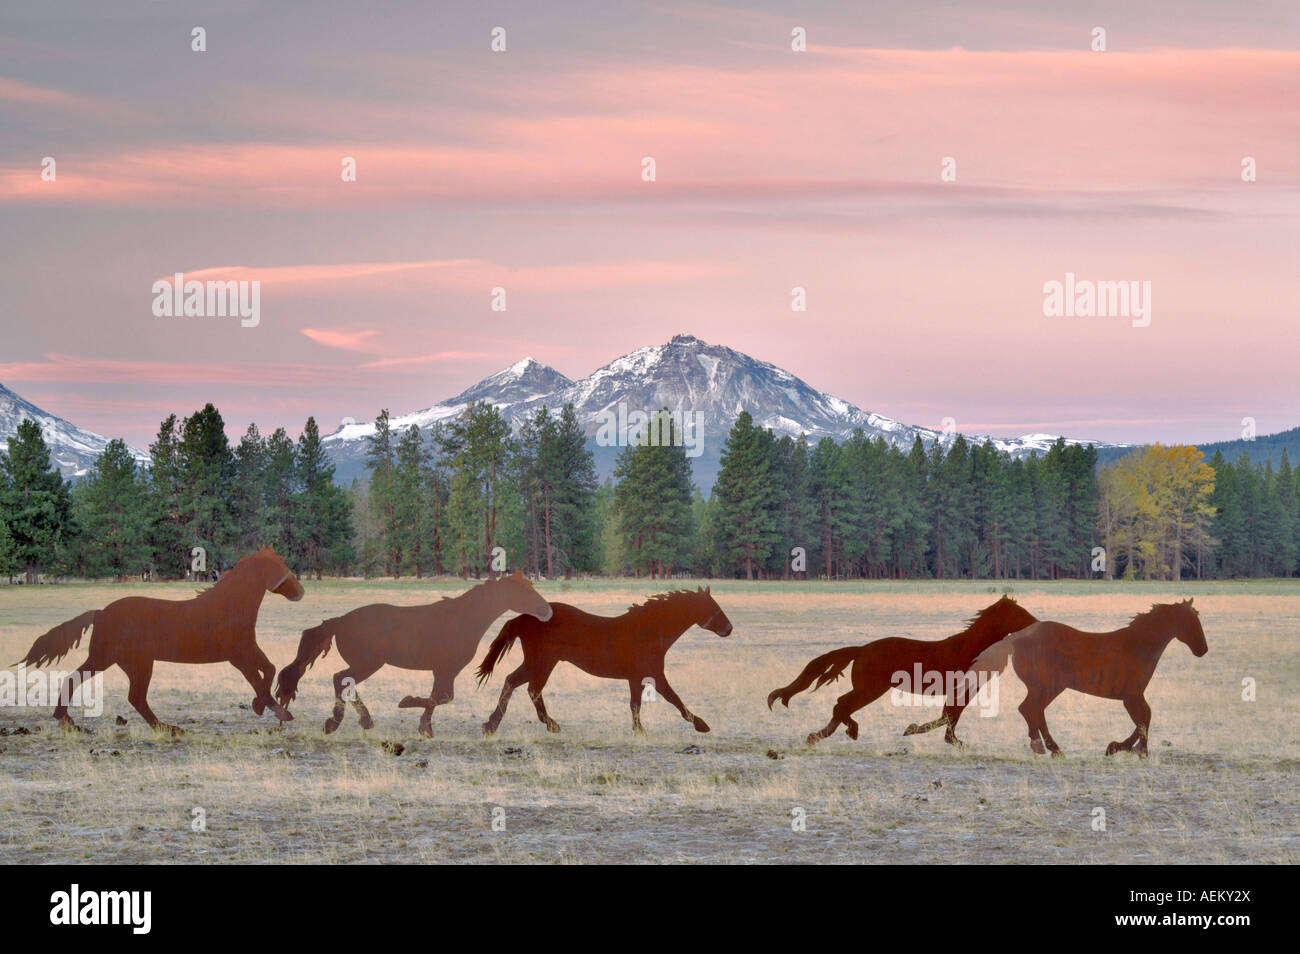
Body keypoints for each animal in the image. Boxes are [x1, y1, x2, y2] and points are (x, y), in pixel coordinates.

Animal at [13, 546, 303, 735]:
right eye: (281, 562)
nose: (299, 592)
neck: (229, 607)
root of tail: (101, 613)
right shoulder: (239, 655)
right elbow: (259, 678)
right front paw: (271, 709)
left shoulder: (247, 651)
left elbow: (268, 669)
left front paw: (267, 708)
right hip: (128, 661)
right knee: (130, 695)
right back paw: (167, 728)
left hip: (118, 661)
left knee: (114, 691)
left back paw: (67, 720)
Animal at [273, 570, 553, 736]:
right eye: (526, 590)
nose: (547, 611)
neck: (463, 619)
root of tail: (341, 621)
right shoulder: (446, 669)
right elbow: (441, 697)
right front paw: (410, 708)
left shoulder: (443, 671)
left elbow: (439, 697)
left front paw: (423, 726)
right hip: (367, 664)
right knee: (340, 679)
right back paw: (339, 722)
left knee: (342, 681)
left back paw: (363, 721)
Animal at [476, 586, 733, 736]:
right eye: (712, 606)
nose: (729, 629)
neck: (649, 630)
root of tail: (522, 618)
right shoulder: (653, 675)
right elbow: (674, 699)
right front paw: (701, 724)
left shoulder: (636, 678)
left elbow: (635, 704)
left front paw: (638, 729)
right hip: (542, 662)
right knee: (529, 688)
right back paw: (544, 724)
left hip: (539, 663)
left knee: (516, 683)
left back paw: (493, 724)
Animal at [767, 595, 1037, 746]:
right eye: (1019, 613)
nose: (1036, 624)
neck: (971, 650)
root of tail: (861, 650)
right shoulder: (962, 690)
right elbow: (949, 717)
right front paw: (919, 731)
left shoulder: (961, 692)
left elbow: (949, 716)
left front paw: (947, 739)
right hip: (871, 689)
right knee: (841, 704)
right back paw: (845, 731)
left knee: (841, 705)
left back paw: (821, 735)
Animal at [965, 599, 1207, 757]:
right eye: (1190, 621)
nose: (1202, 650)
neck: (1138, 646)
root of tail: (1016, 637)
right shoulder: (1131, 696)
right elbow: (1144, 718)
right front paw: (1125, 748)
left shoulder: (1133, 696)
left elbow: (1144, 718)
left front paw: (1131, 748)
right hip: (1047, 687)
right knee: (1029, 709)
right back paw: (1047, 747)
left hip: (1048, 688)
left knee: (1033, 710)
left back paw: (1048, 748)